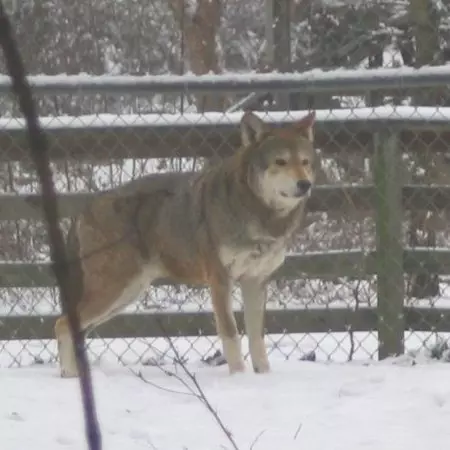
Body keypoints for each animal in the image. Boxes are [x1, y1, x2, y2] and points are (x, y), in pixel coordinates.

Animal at [55, 110, 316, 378]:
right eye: (280, 162)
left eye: (305, 162)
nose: (305, 184)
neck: (260, 214)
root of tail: (84, 209)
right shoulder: (220, 280)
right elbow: (231, 334)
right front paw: (239, 378)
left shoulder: (256, 281)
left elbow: (256, 338)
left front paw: (262, 377)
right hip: (114, 291)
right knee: (61, 323)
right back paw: (70, 376)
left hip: (126, 295)